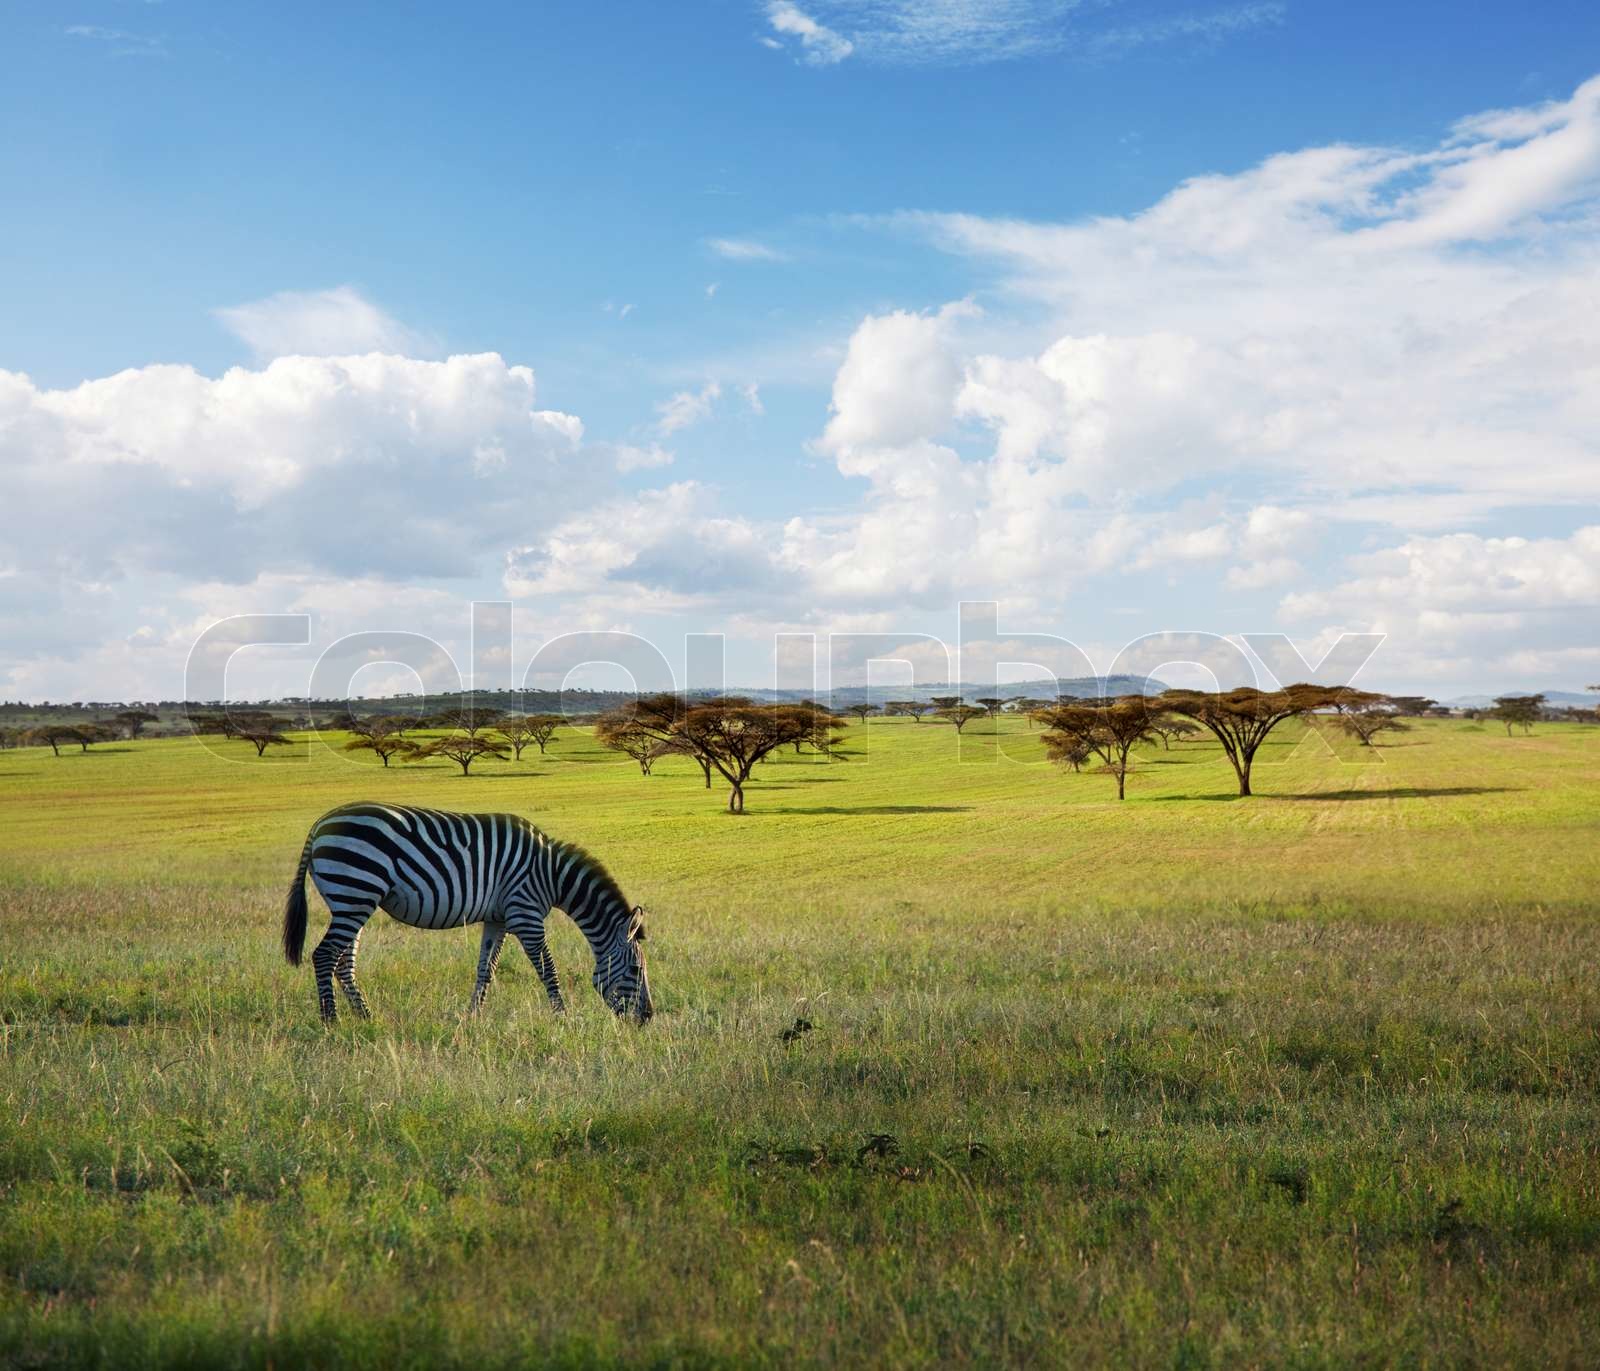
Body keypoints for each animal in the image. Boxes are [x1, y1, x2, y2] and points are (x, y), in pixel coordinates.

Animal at [282, 803, 652, 1023]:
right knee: (325, 955)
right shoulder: (525, 914)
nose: (648, 1017)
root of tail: (320, 824)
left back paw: (367, 1017)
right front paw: (563, 1017)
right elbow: (548, 970)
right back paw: (331, 1021)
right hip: (355, 890)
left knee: (343, 962)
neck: (552, 875)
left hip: (353, 901)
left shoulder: (498, 918)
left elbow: (486, 969)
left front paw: (473, 1016)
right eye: (636, 969)